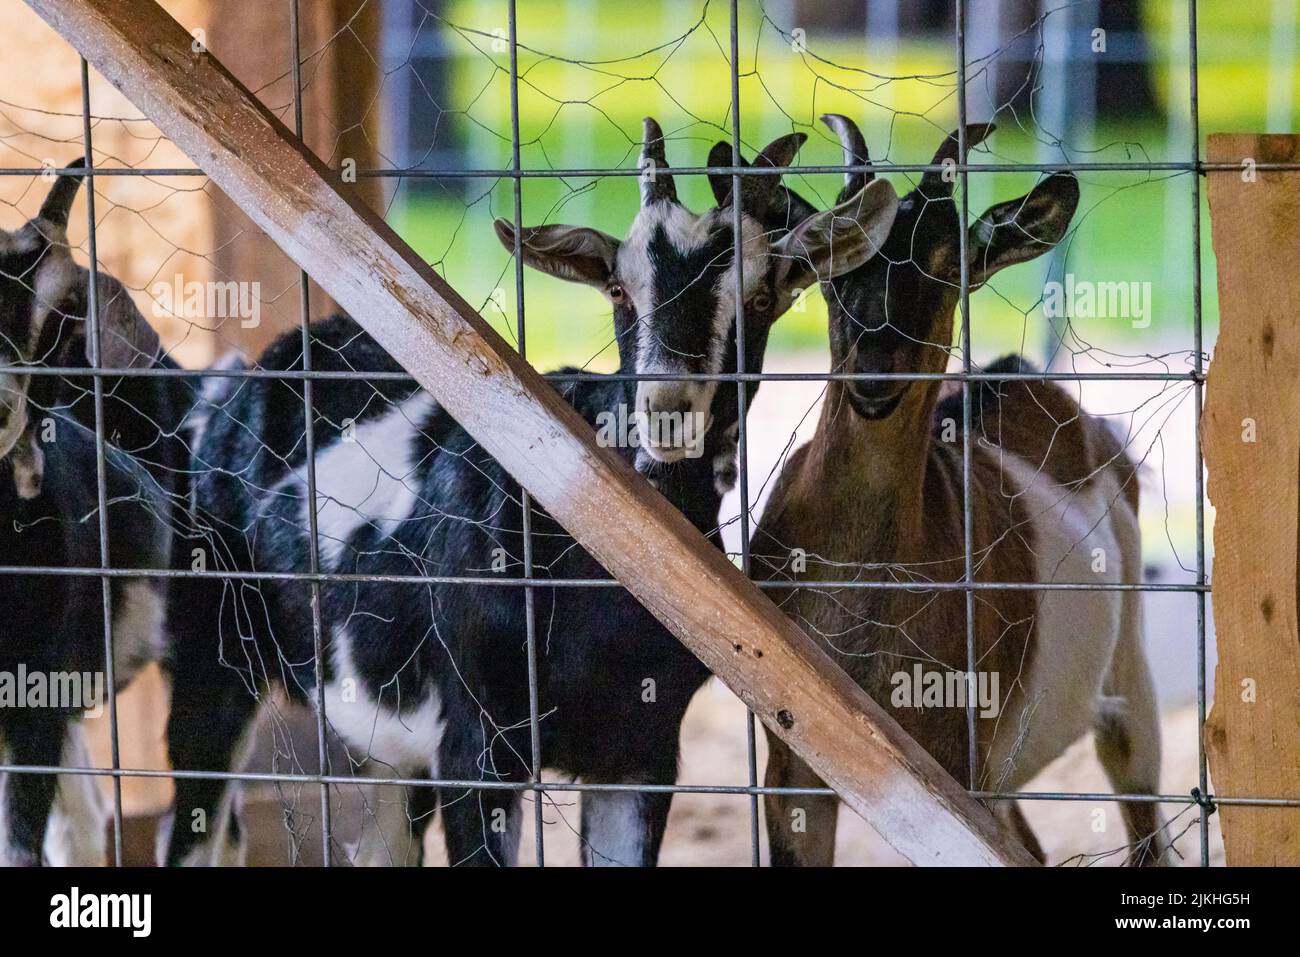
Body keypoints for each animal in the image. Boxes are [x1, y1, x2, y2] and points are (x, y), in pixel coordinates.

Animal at [159, 118, 900, 866]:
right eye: (618, 290)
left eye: (760, 298)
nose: (667, 408)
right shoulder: (475, 744)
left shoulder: (642, 754)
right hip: (211, 651)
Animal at [753, 116, 1166, 866]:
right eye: (830, 265)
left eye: (949, 266)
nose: (874, 375)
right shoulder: (792, 762)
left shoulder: (959, 765)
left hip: (1128, 681)